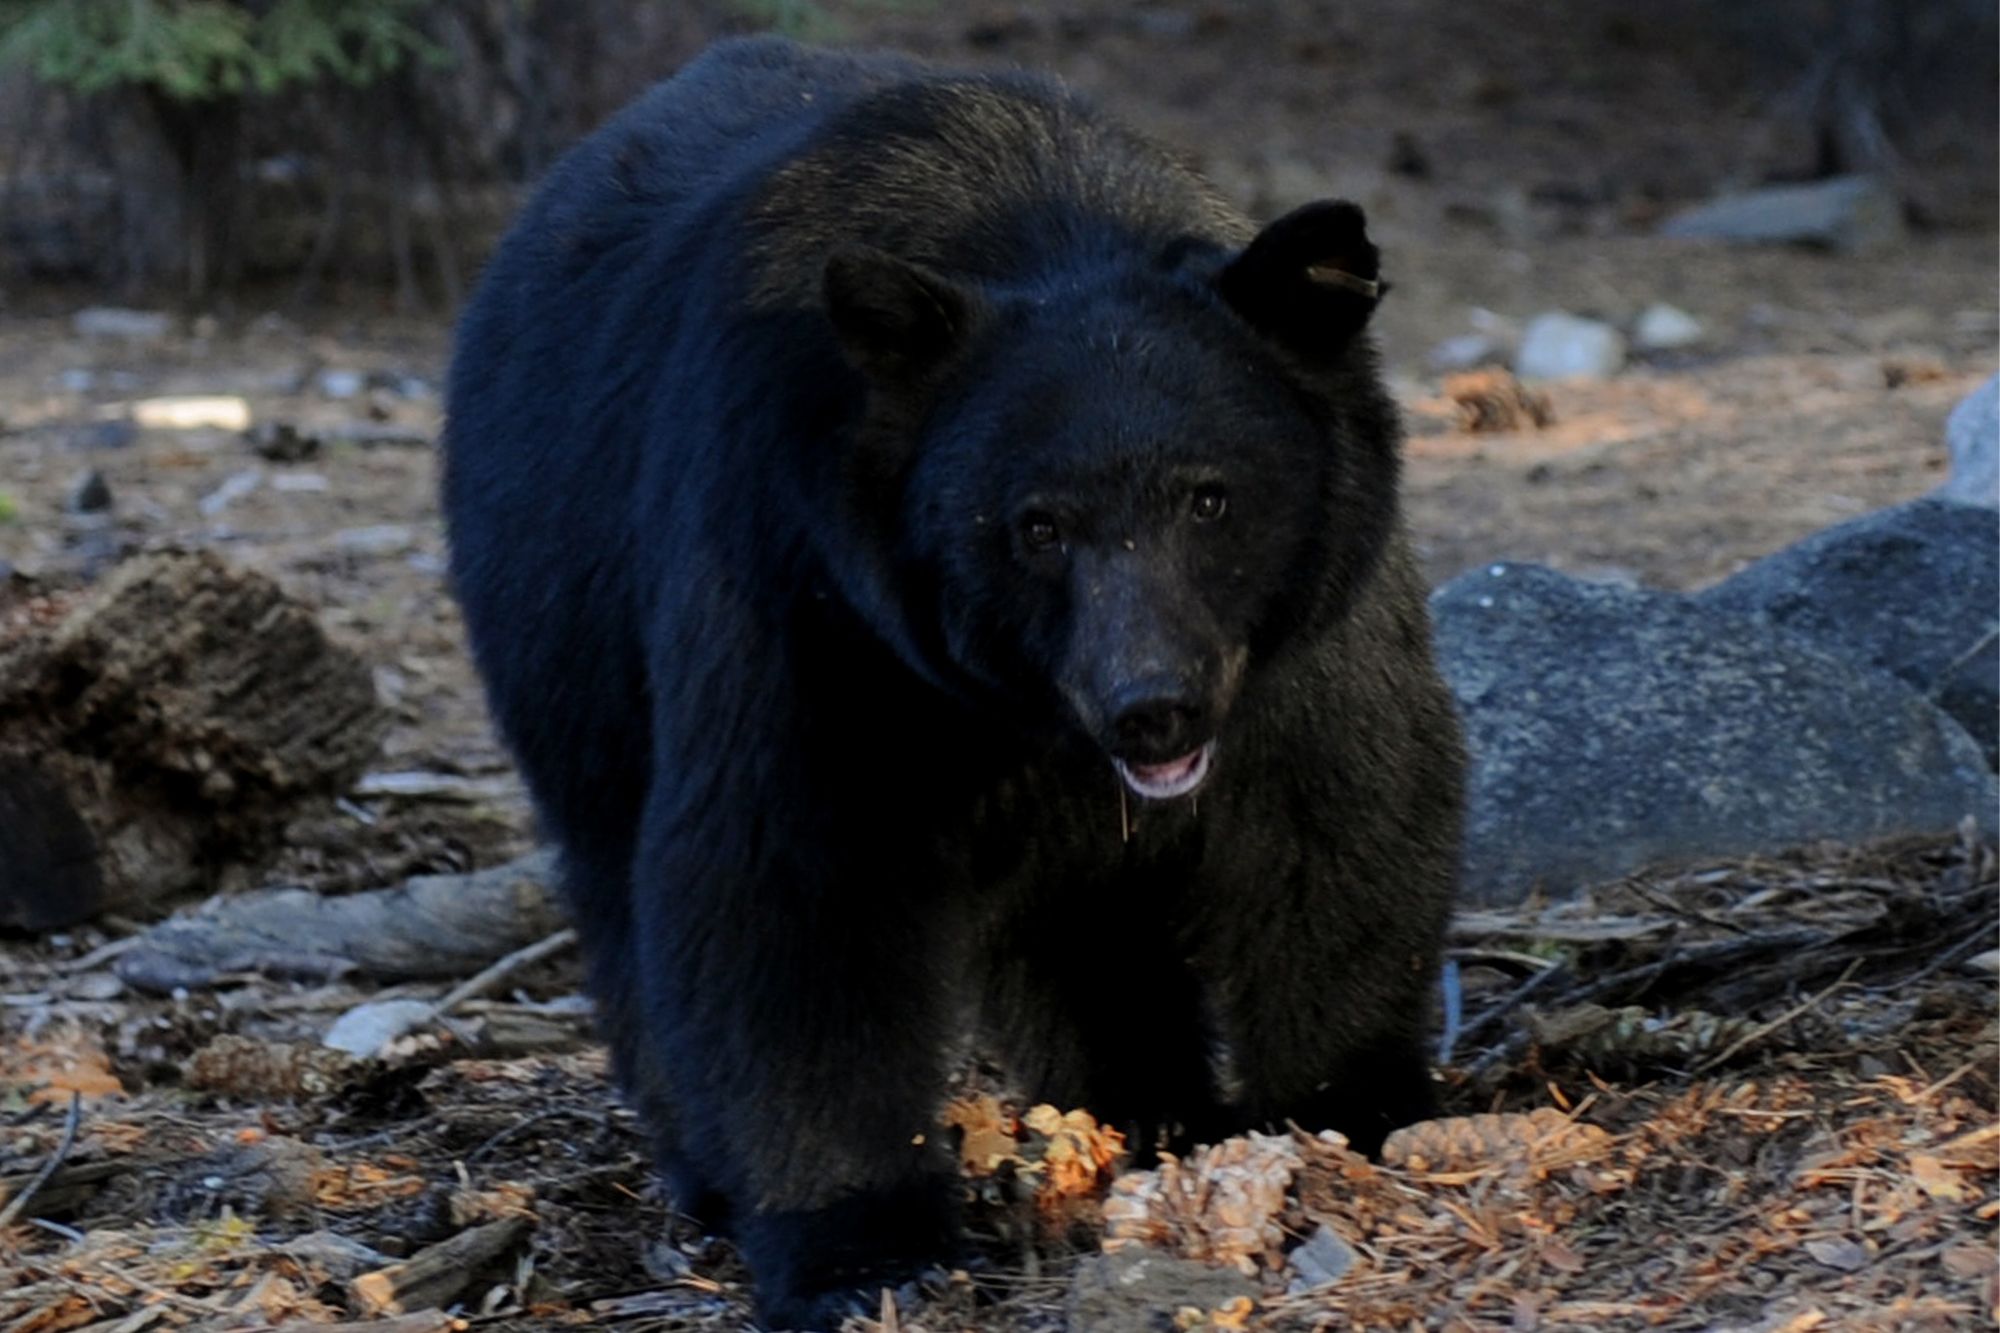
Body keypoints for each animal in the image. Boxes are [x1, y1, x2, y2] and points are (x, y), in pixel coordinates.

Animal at [442, 35, 1464, 1331]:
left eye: (1210, 495)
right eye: (1035, 524)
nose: (1152, 707)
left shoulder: (1304, 634)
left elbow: (1336, 818)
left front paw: (1349, 1111)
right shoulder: (808, 591)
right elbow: (793, 884)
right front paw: (860, 1246)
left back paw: (1140, 1104)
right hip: (561, 629)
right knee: (620, 883)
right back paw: (707, 1170)